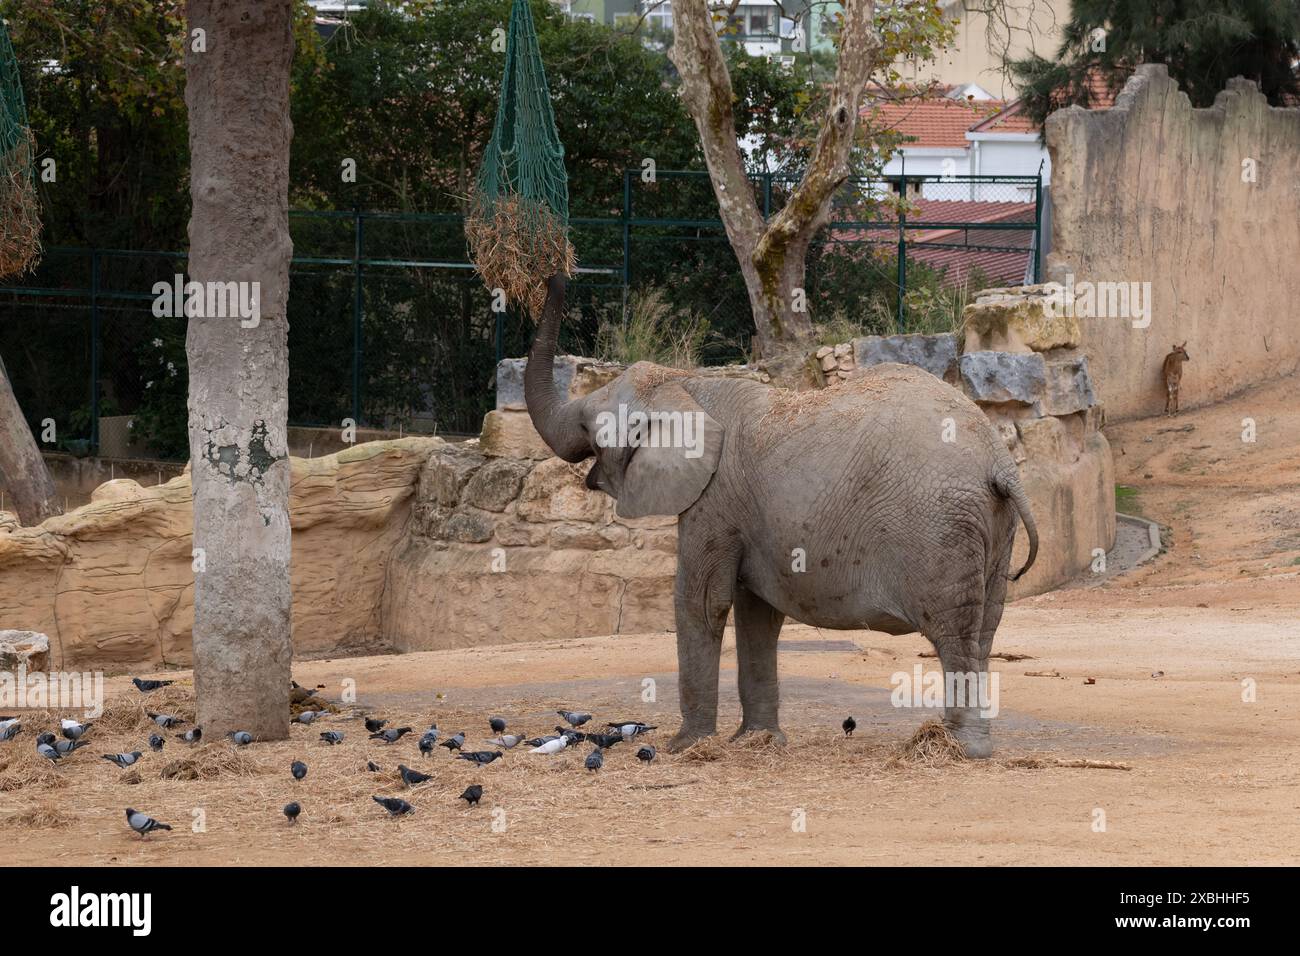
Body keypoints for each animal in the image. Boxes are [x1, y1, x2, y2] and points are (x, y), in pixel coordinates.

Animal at [524, 275, 1038, 758]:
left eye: (589, 425)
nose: (555, 275)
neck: (687, 383)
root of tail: (998, 461)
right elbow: (757, 613)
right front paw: (758, 741)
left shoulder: (714, 499)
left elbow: (702, 603)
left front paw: (685, 747)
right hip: (993, 526)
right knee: (985, 627)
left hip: (941, 525)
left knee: (955, 633)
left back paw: (957, 749)